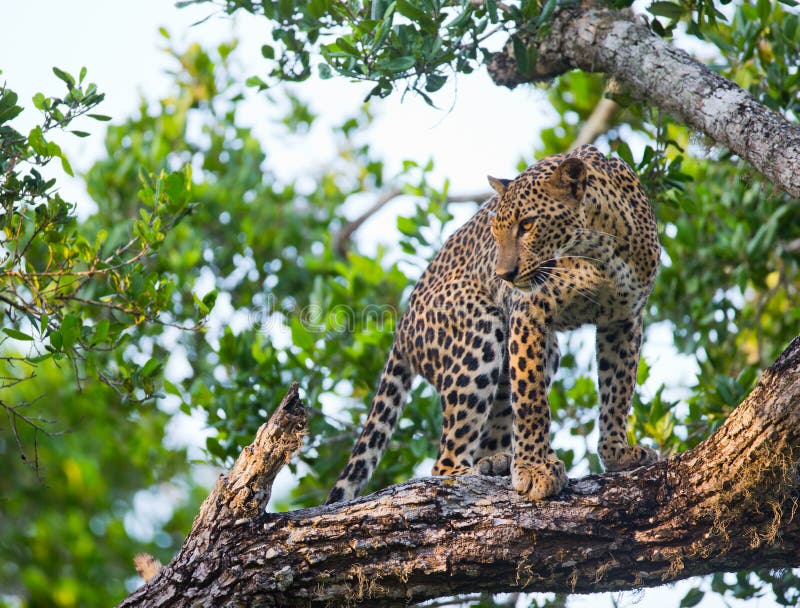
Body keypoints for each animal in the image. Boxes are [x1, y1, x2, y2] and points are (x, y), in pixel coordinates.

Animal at [326, 144, 660, 504]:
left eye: (527, 225)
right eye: (495, 232)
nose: (504, 276)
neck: (602, 249)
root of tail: (402, 325)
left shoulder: (624, 320)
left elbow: (618, 392)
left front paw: (616, 454)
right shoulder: (528, 311)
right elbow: (531, 401)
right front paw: (535, 469)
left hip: (542, 351)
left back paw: (495, 461)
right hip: (480, 332)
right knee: (444, 461)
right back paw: (469, 472)